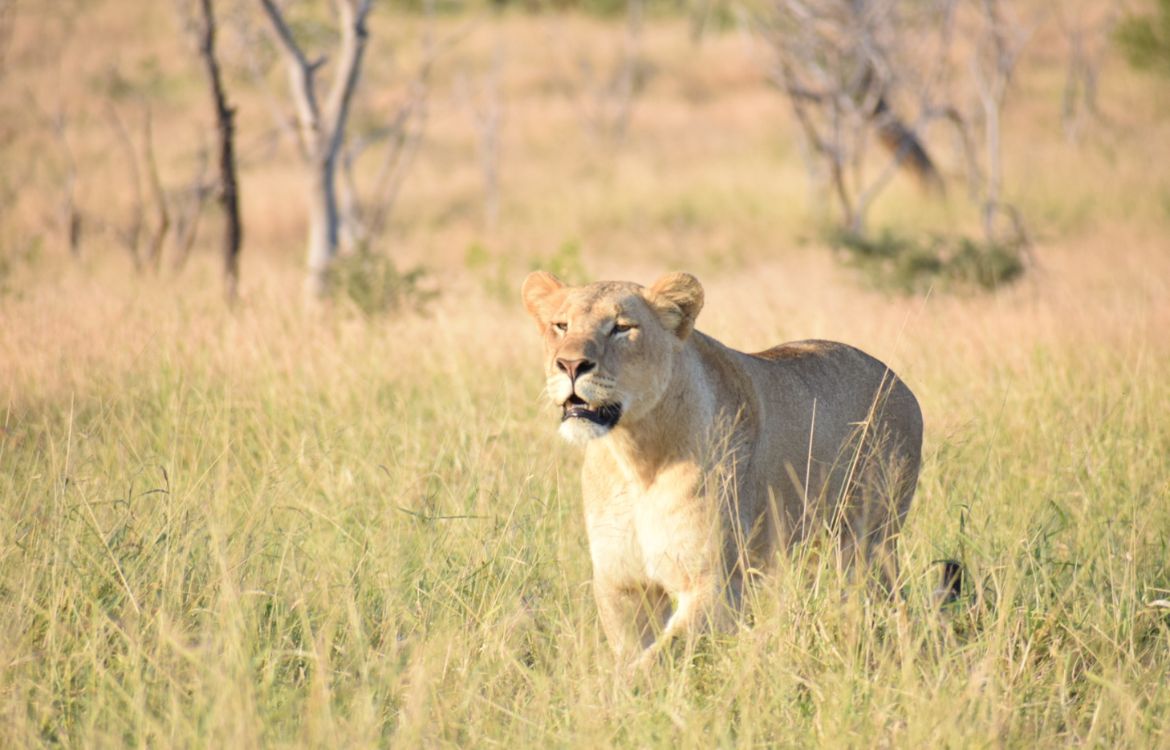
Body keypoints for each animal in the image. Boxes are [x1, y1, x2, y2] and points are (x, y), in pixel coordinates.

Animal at [521, 270, 923, 666]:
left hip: (868, 546)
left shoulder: (715, 585)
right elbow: (634, 656)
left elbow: (654, 662)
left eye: (621, 327)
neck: (635, 457)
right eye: (561, 325)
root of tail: (900, 383)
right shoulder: (621, 584)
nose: (570, 365)